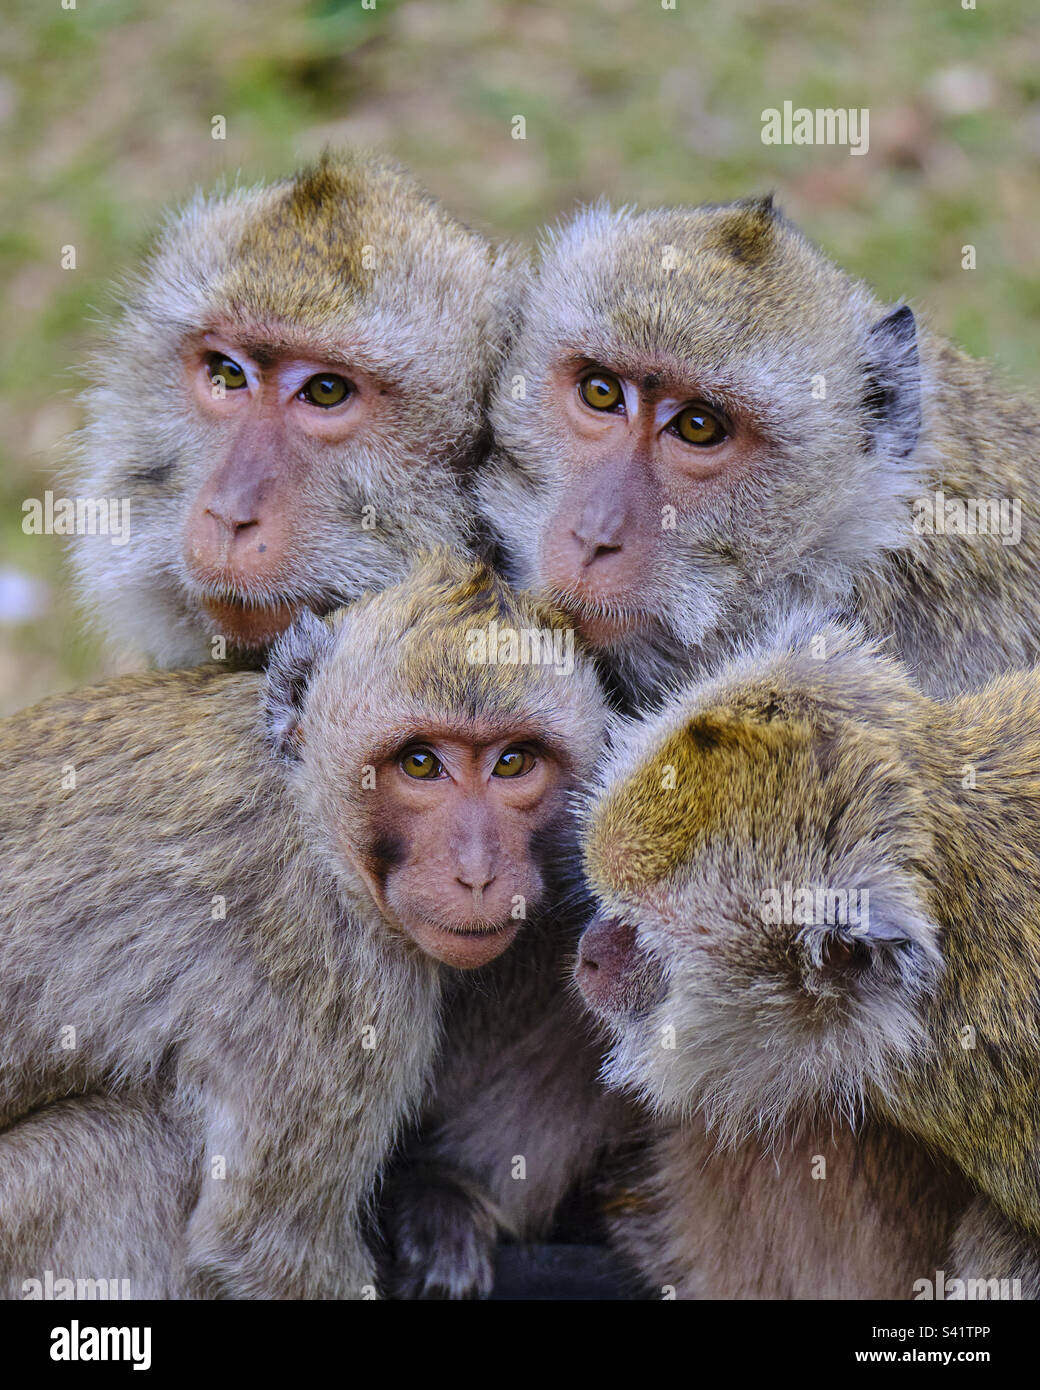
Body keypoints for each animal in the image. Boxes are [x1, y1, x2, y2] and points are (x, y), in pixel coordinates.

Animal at [0, 550, 605, 1299]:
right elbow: (267, 1247)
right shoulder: (333, 974)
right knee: (138, 1149)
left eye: (514, 761)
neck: (310, 811)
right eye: (420, 763)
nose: (476, 872)